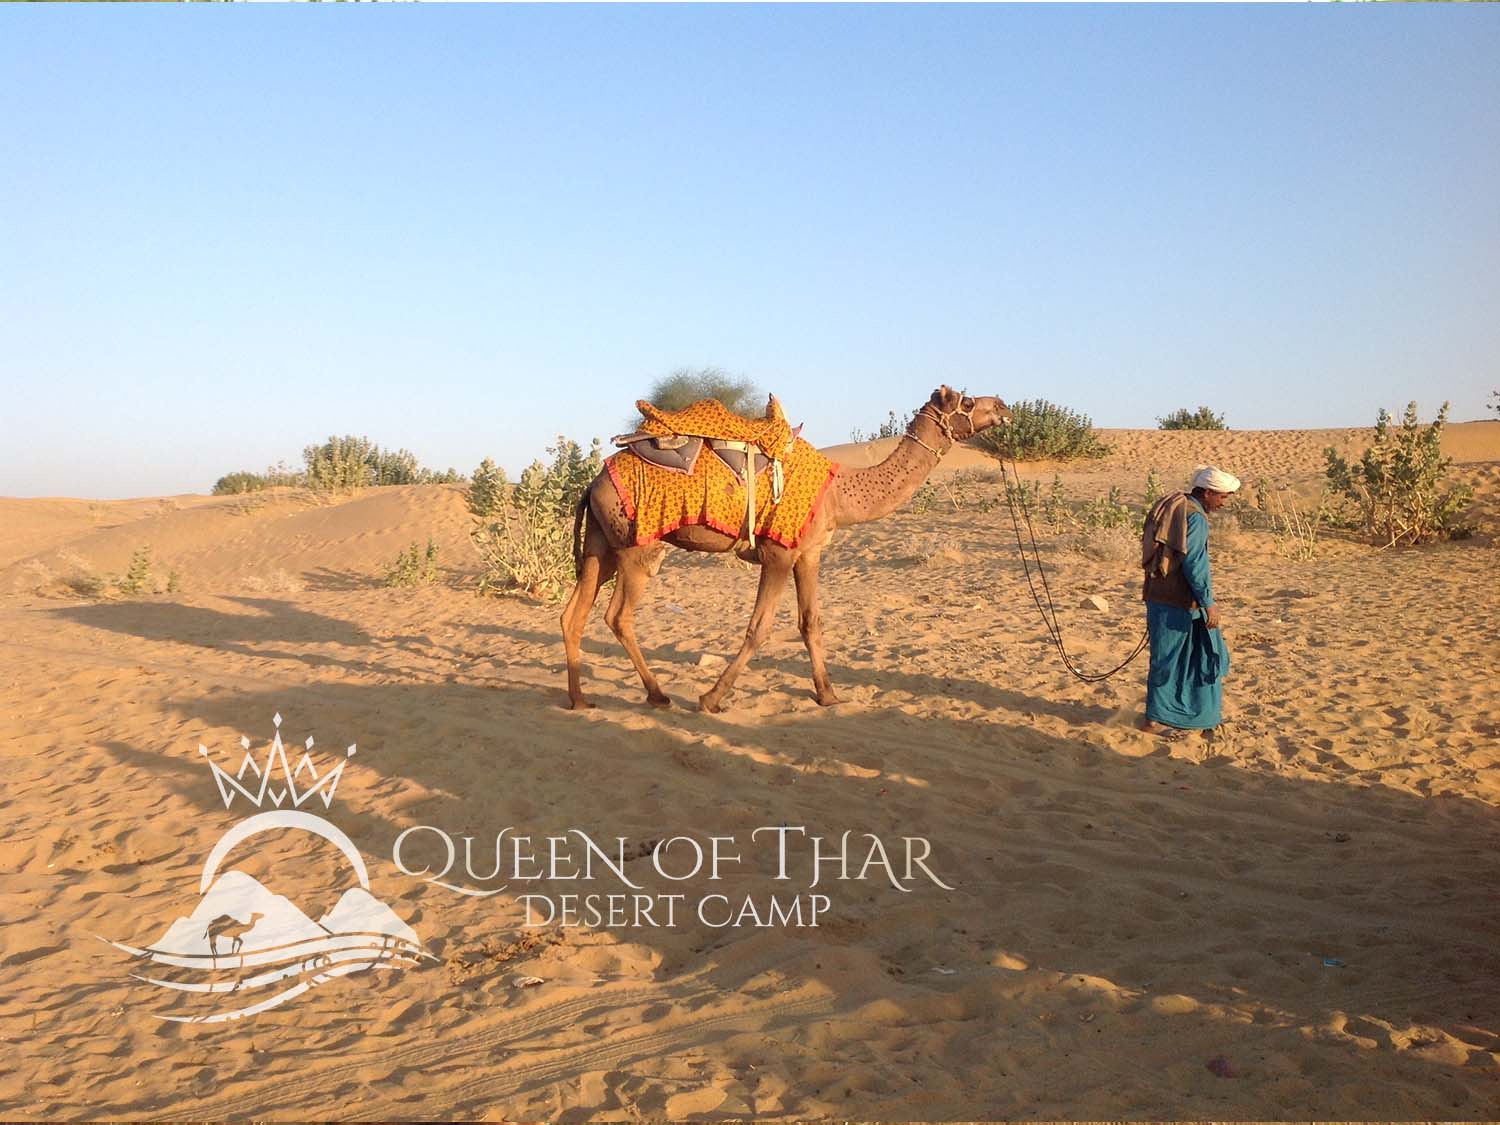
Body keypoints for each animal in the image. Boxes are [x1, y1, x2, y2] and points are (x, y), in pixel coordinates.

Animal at [561, 386, 1012, 712]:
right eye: (968, 401)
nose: (1004, 404)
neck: (840, 491)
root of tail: (593, 482)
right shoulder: (777, 553)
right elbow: (758, 628)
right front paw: (711, 699)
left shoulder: (808, 553)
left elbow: (811, 622)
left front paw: (828, 695)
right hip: (639, 547)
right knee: (618, 616)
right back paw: (657, 695)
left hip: (602, 544)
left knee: (573, 614)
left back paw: (580, 700)